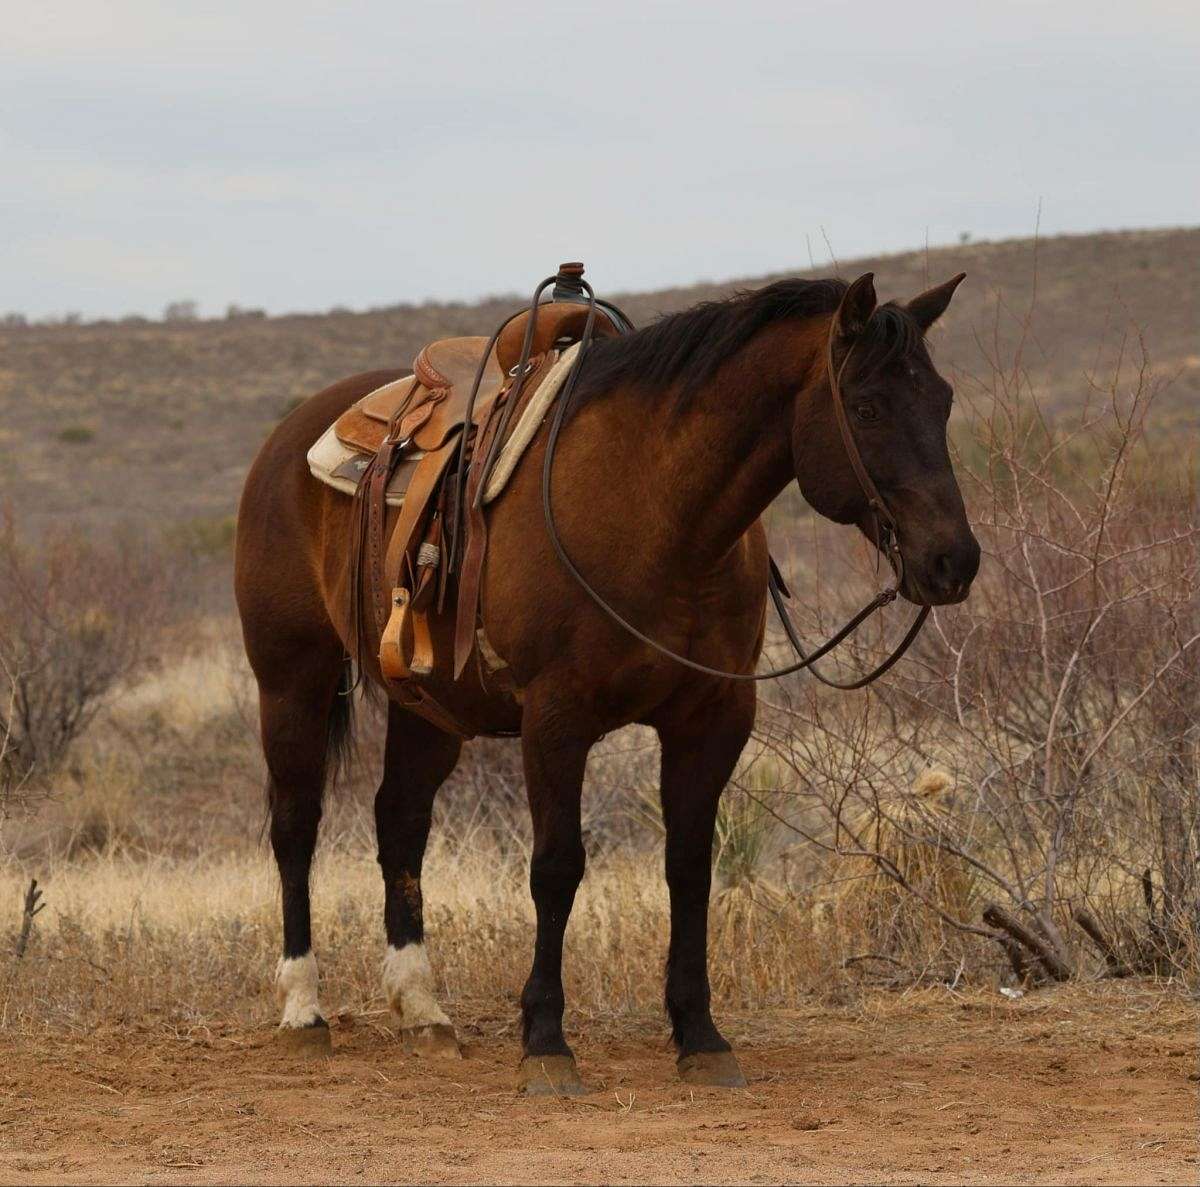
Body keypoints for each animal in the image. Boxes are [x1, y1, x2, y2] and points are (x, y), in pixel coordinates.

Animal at [234, 269, 980, 1093]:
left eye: (942, 400)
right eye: (869, 405)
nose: (953, 561)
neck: (656, 508)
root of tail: (290, 436)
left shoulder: (713, 717)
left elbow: (689, 866)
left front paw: (699, 1033)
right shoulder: (556, 719)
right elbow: (557, 868)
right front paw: (545, 1040)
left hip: (428, 707)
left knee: (399, 821)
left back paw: (423, 1010)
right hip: (291, 679)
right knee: (295, 824)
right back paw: (304, 1008)